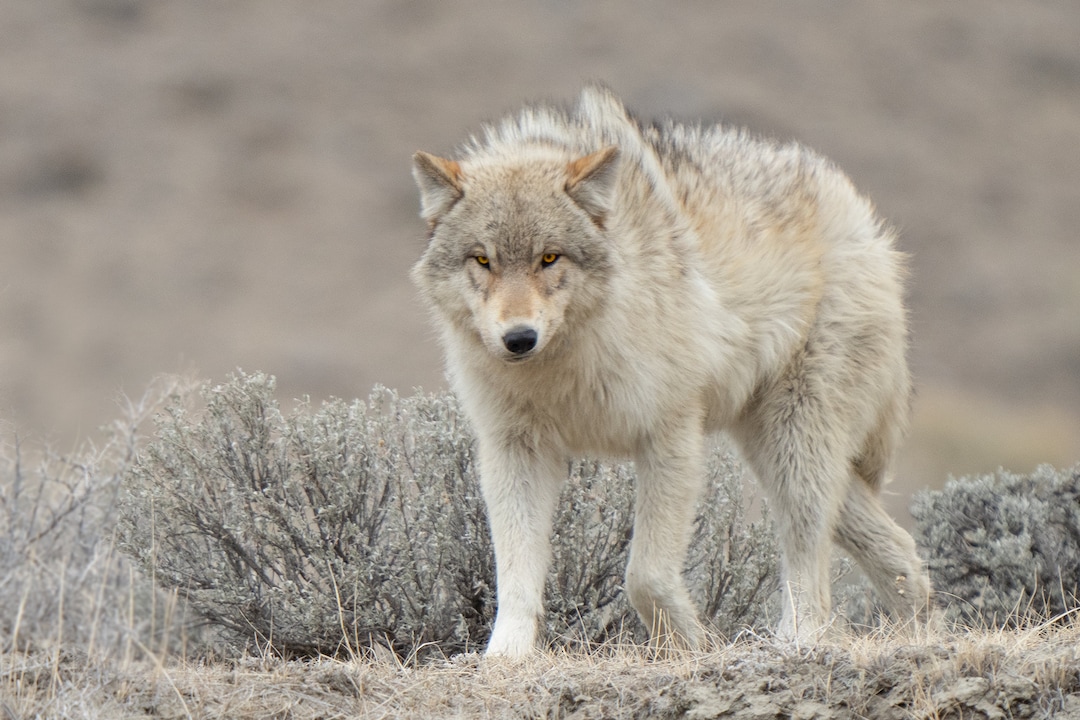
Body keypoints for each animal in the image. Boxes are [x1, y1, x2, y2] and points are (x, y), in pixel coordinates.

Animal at [410, 86, 932, 658]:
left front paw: (689, 642)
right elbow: (515, 576)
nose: (519, 338)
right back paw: (914, 632)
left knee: (809, 563)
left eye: (549, 258)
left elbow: (645, 576)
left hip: (795, 452)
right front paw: (505, 657)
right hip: (775, 449)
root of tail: (863, 217)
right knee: (902, 551)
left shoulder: (670, 436)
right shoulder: (515, 450)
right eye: (482, 260)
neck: (565, 367)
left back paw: (796, 641)